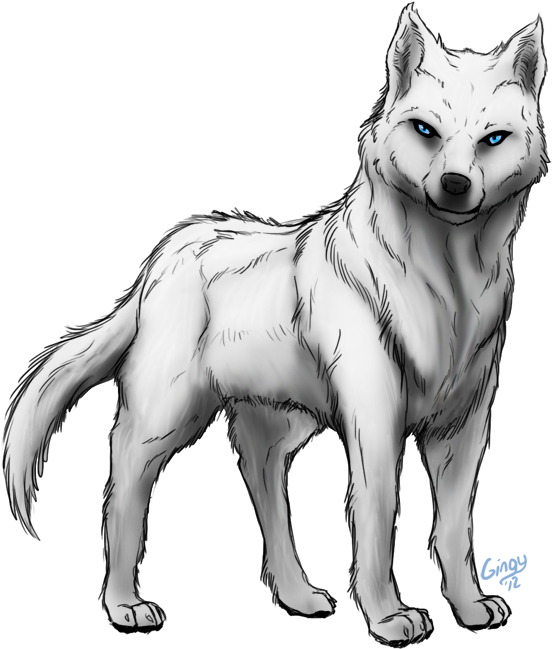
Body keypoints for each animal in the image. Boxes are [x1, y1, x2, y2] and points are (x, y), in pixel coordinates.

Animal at [3, 3, 547, 644]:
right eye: (425, 131)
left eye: (493, 140)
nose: (456, 185)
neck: (447, 284)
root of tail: (167, 255)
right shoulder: (374, 425)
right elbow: (376, 523)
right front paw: (388, 617)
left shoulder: (462, 432)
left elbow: (455, 531)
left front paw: (468, 608)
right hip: (165, 418)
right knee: (123, 492)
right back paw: (123, 605)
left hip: (276, 431)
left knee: (266, 499)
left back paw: (296, 596)